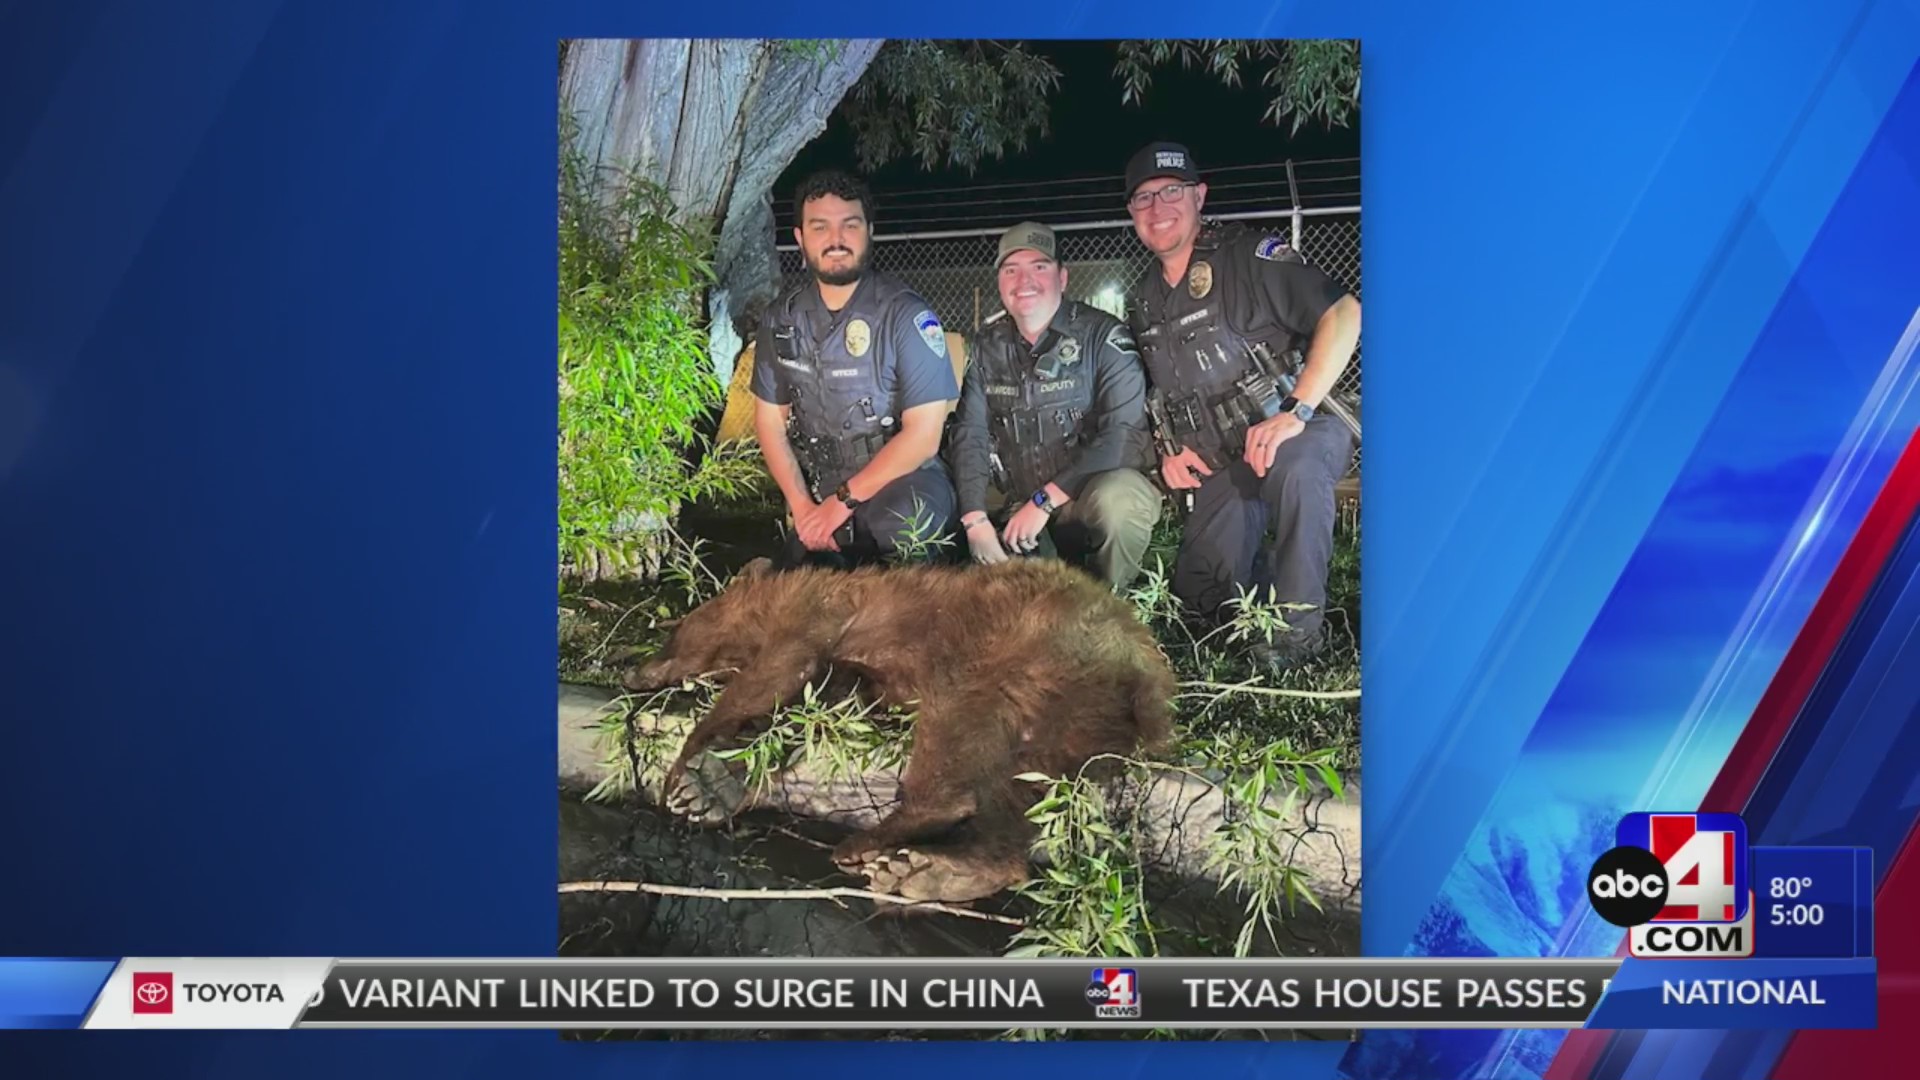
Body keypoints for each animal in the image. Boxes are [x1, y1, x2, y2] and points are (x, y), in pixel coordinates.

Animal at [620, 555, 1177, 904]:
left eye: (675, 631)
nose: (636, 670)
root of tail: (1150, 682)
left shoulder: (817, 620)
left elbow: (778, 673)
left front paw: (687, 774)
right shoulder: (852, 669)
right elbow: (822, 701)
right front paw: (714, 784)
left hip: (1018, 657)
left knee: (957, 748)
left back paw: (876, 849)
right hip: (1066, 726)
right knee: (1014, 798)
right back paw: (935, 870)